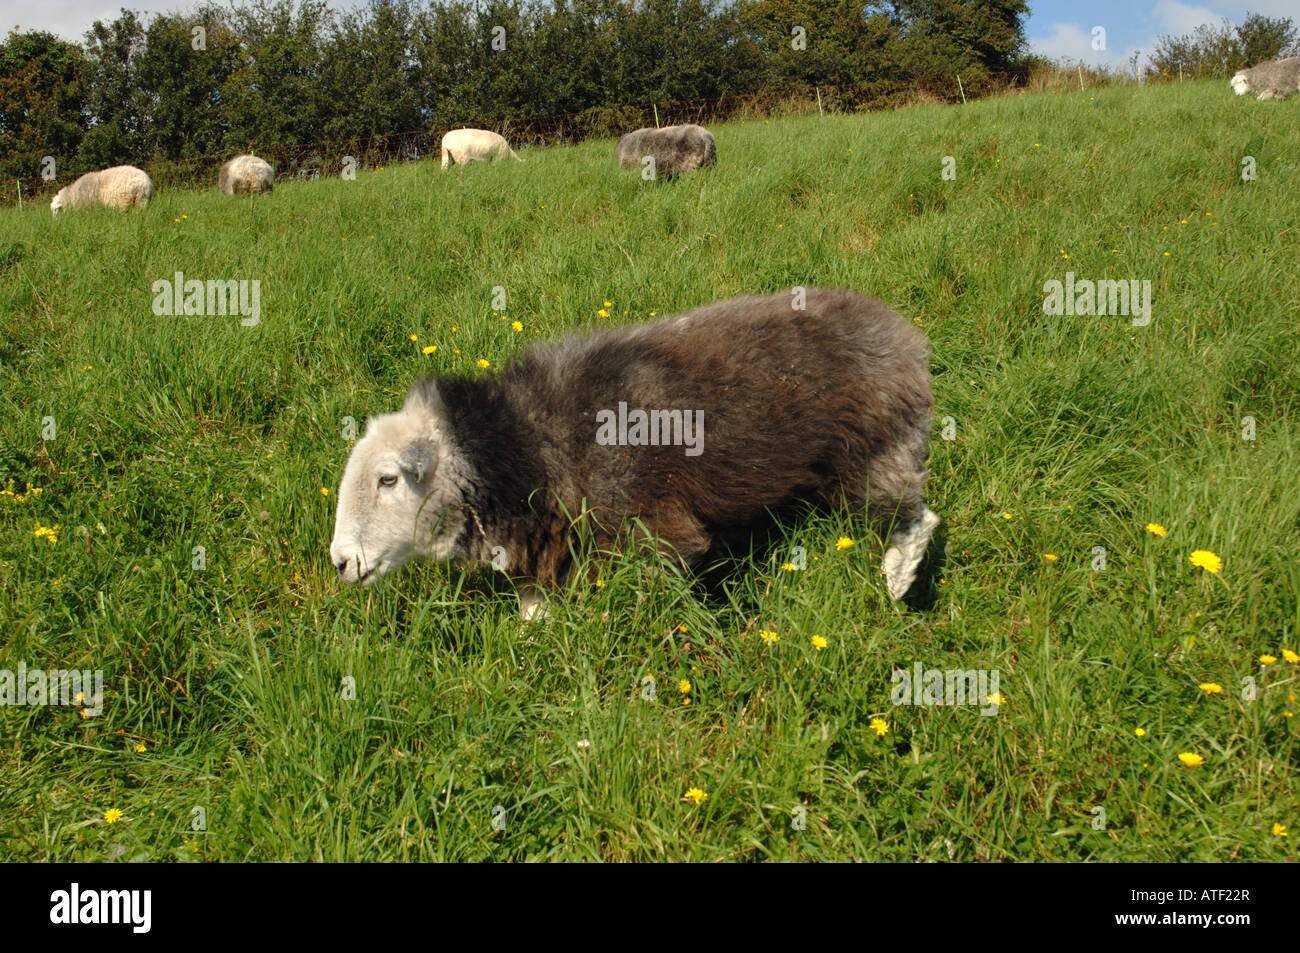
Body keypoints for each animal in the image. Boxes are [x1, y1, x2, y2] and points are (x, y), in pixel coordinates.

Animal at [329, 288, 939, 619]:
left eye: (388, 480)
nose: (340, 563)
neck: (520, 443)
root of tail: (901, 332)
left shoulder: (650, 529)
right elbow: (534, 611)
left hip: (877, 446)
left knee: (914, 515)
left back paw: (898, 577)